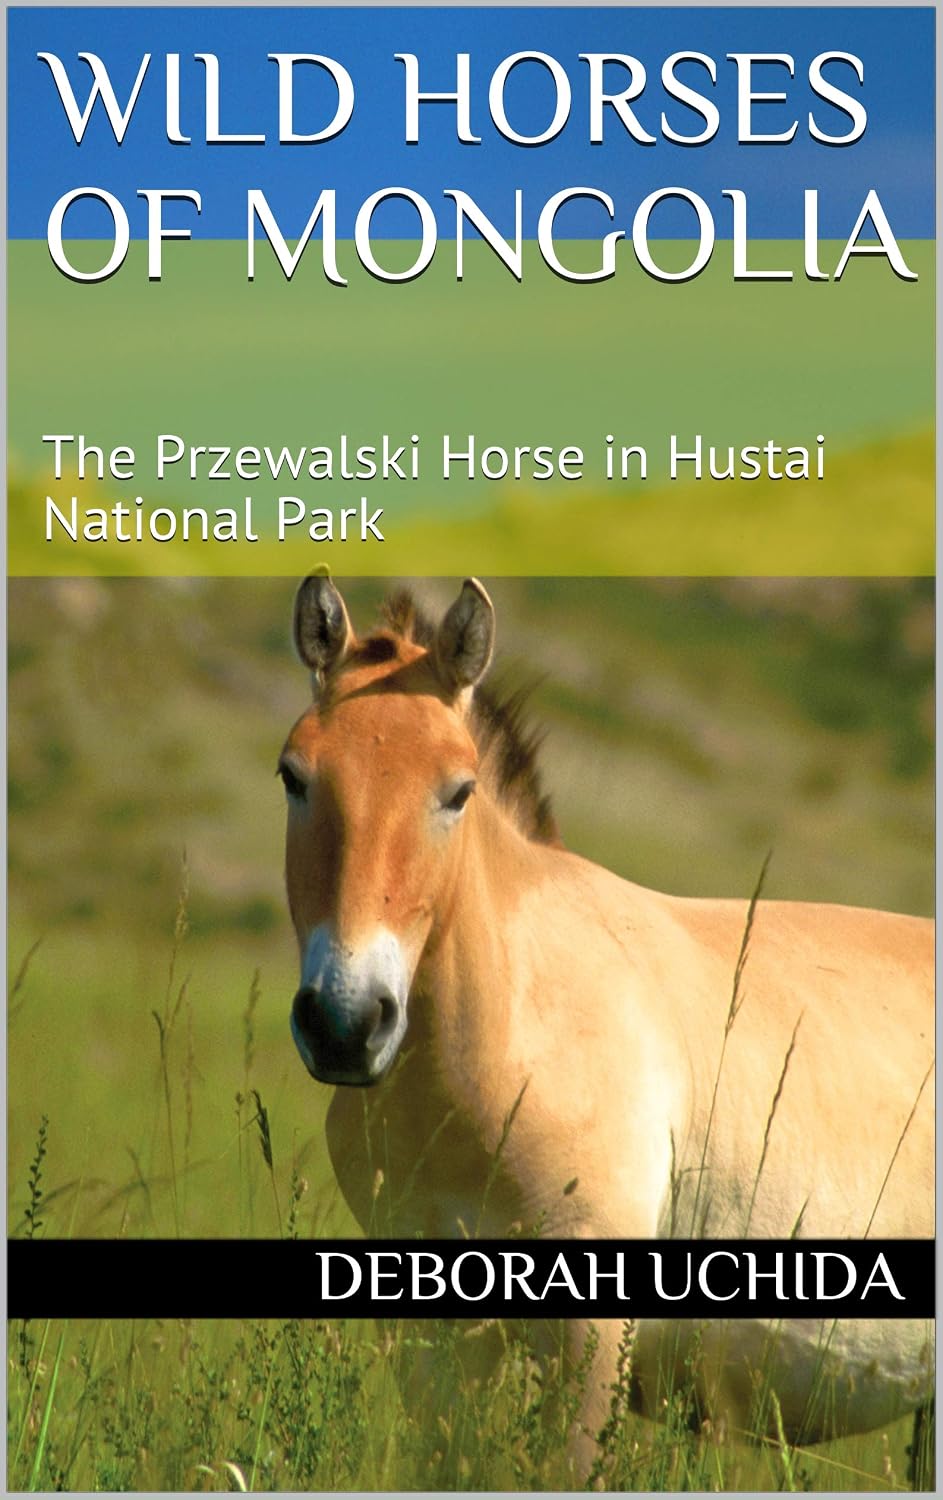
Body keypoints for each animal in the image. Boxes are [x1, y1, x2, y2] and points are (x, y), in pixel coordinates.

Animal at [279, 574, 934, 1481]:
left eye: (458, 792)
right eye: (293, 775)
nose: (346, 1021)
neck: (517, 1031)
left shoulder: (589, 1343)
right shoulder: (436, 1341)